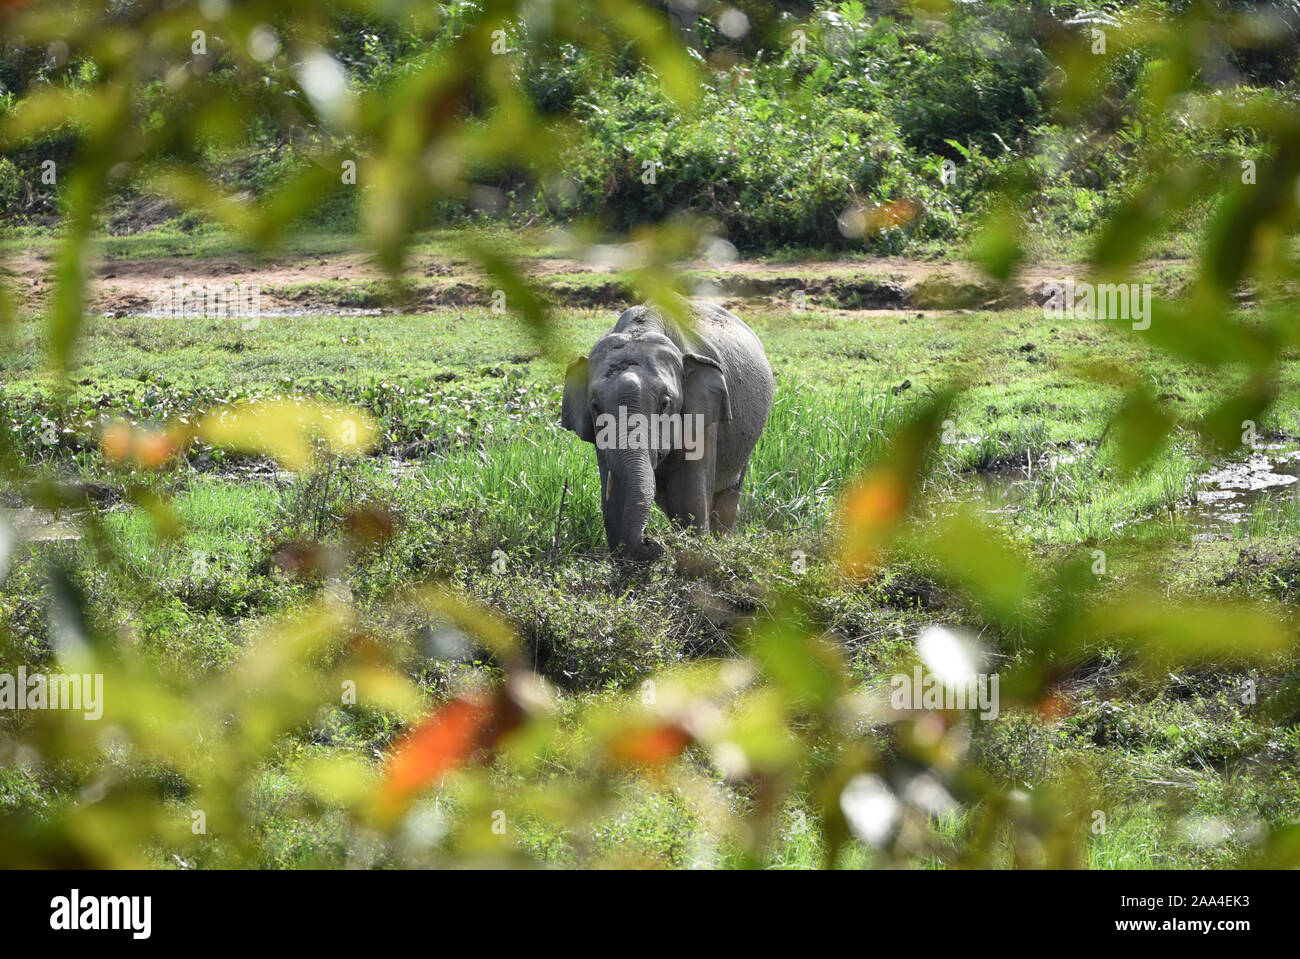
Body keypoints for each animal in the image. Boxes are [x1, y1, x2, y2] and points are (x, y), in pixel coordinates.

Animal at [561, 298, 774, 561]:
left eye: (664, 404)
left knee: (728, 495)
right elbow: (614, 495)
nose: (651, 541)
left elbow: (688, 497)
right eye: (596, 407)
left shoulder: (703, 414)